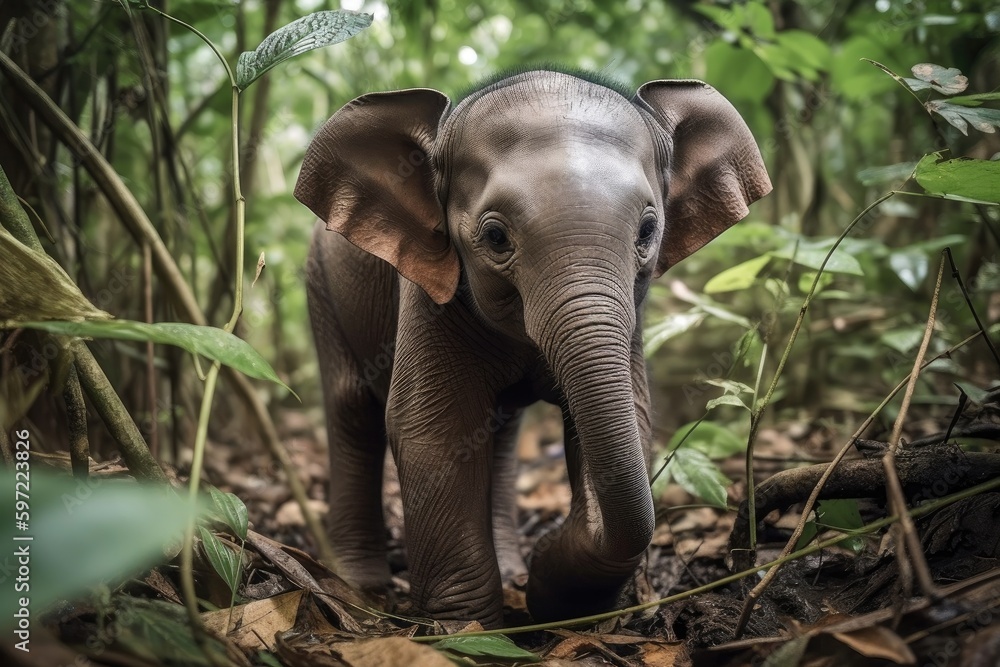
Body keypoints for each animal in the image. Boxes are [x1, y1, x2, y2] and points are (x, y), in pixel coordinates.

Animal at [295, 68, 771, 627]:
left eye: (649, 229)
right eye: (496, 236)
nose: (545, 545)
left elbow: (630, 414)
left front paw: (554, 591)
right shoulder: (430, 296)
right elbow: (430, 426)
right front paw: (465, 630)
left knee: (500, 432)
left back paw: (509, 569)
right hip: (319, 285)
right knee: (352, 409)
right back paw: (359, 585)